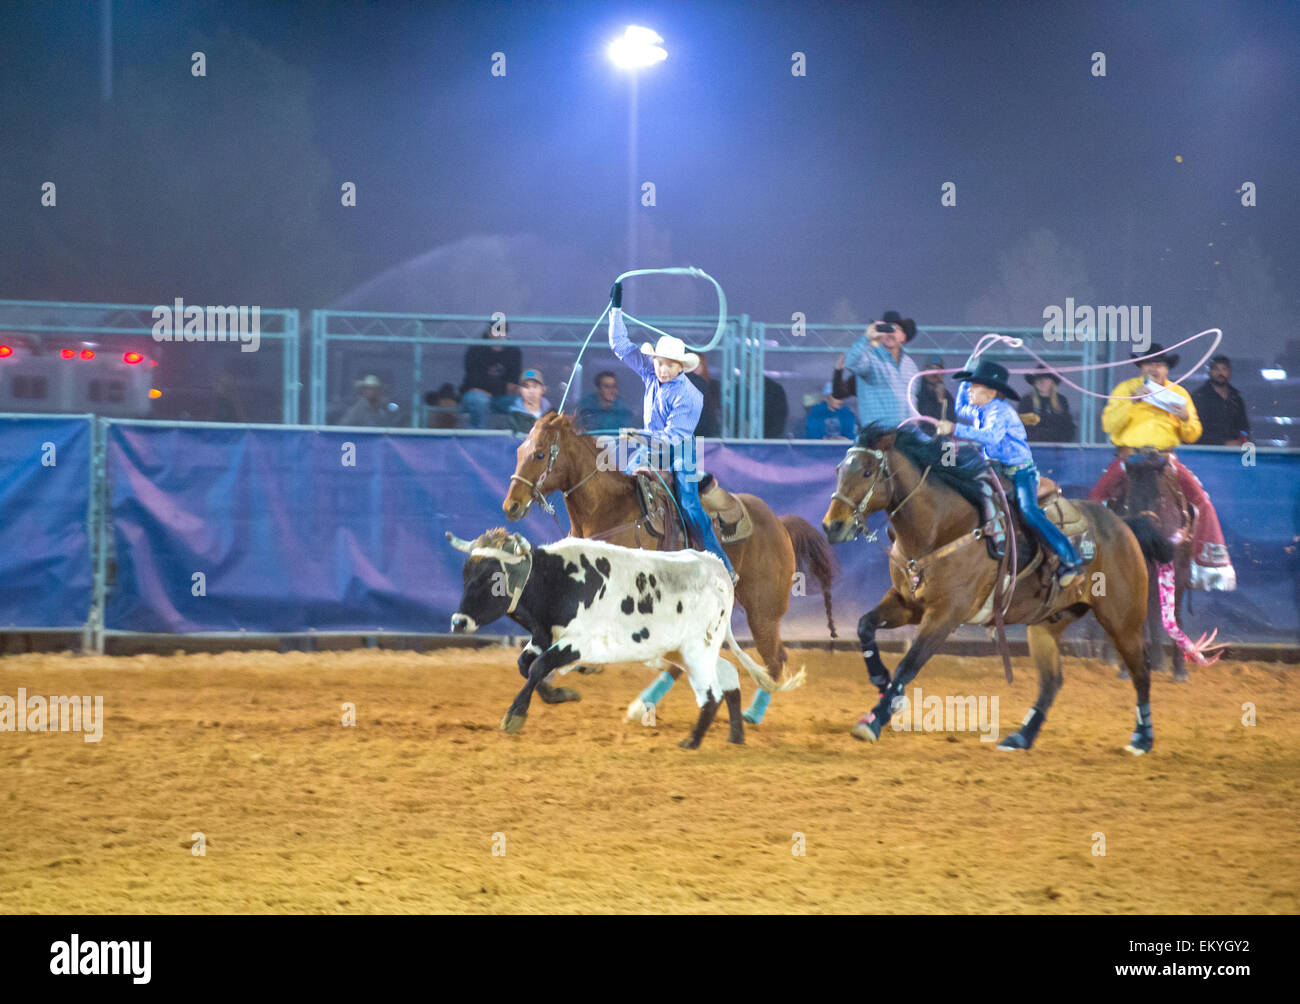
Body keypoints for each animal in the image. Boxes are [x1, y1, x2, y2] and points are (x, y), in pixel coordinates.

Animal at [446, 529, 805, 749]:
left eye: (492, 578)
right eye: (465, 575)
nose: (458, 622)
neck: (559, 580)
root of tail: (715, 567)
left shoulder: (580, 643)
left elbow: (536, 668)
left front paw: (515, 715)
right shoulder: (542, 638)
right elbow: (526, 665)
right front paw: (561, 694)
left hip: (697, 650)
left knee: (711, 693)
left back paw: (692, 741)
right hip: (684, 651)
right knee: (728, 676)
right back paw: (735, 736)